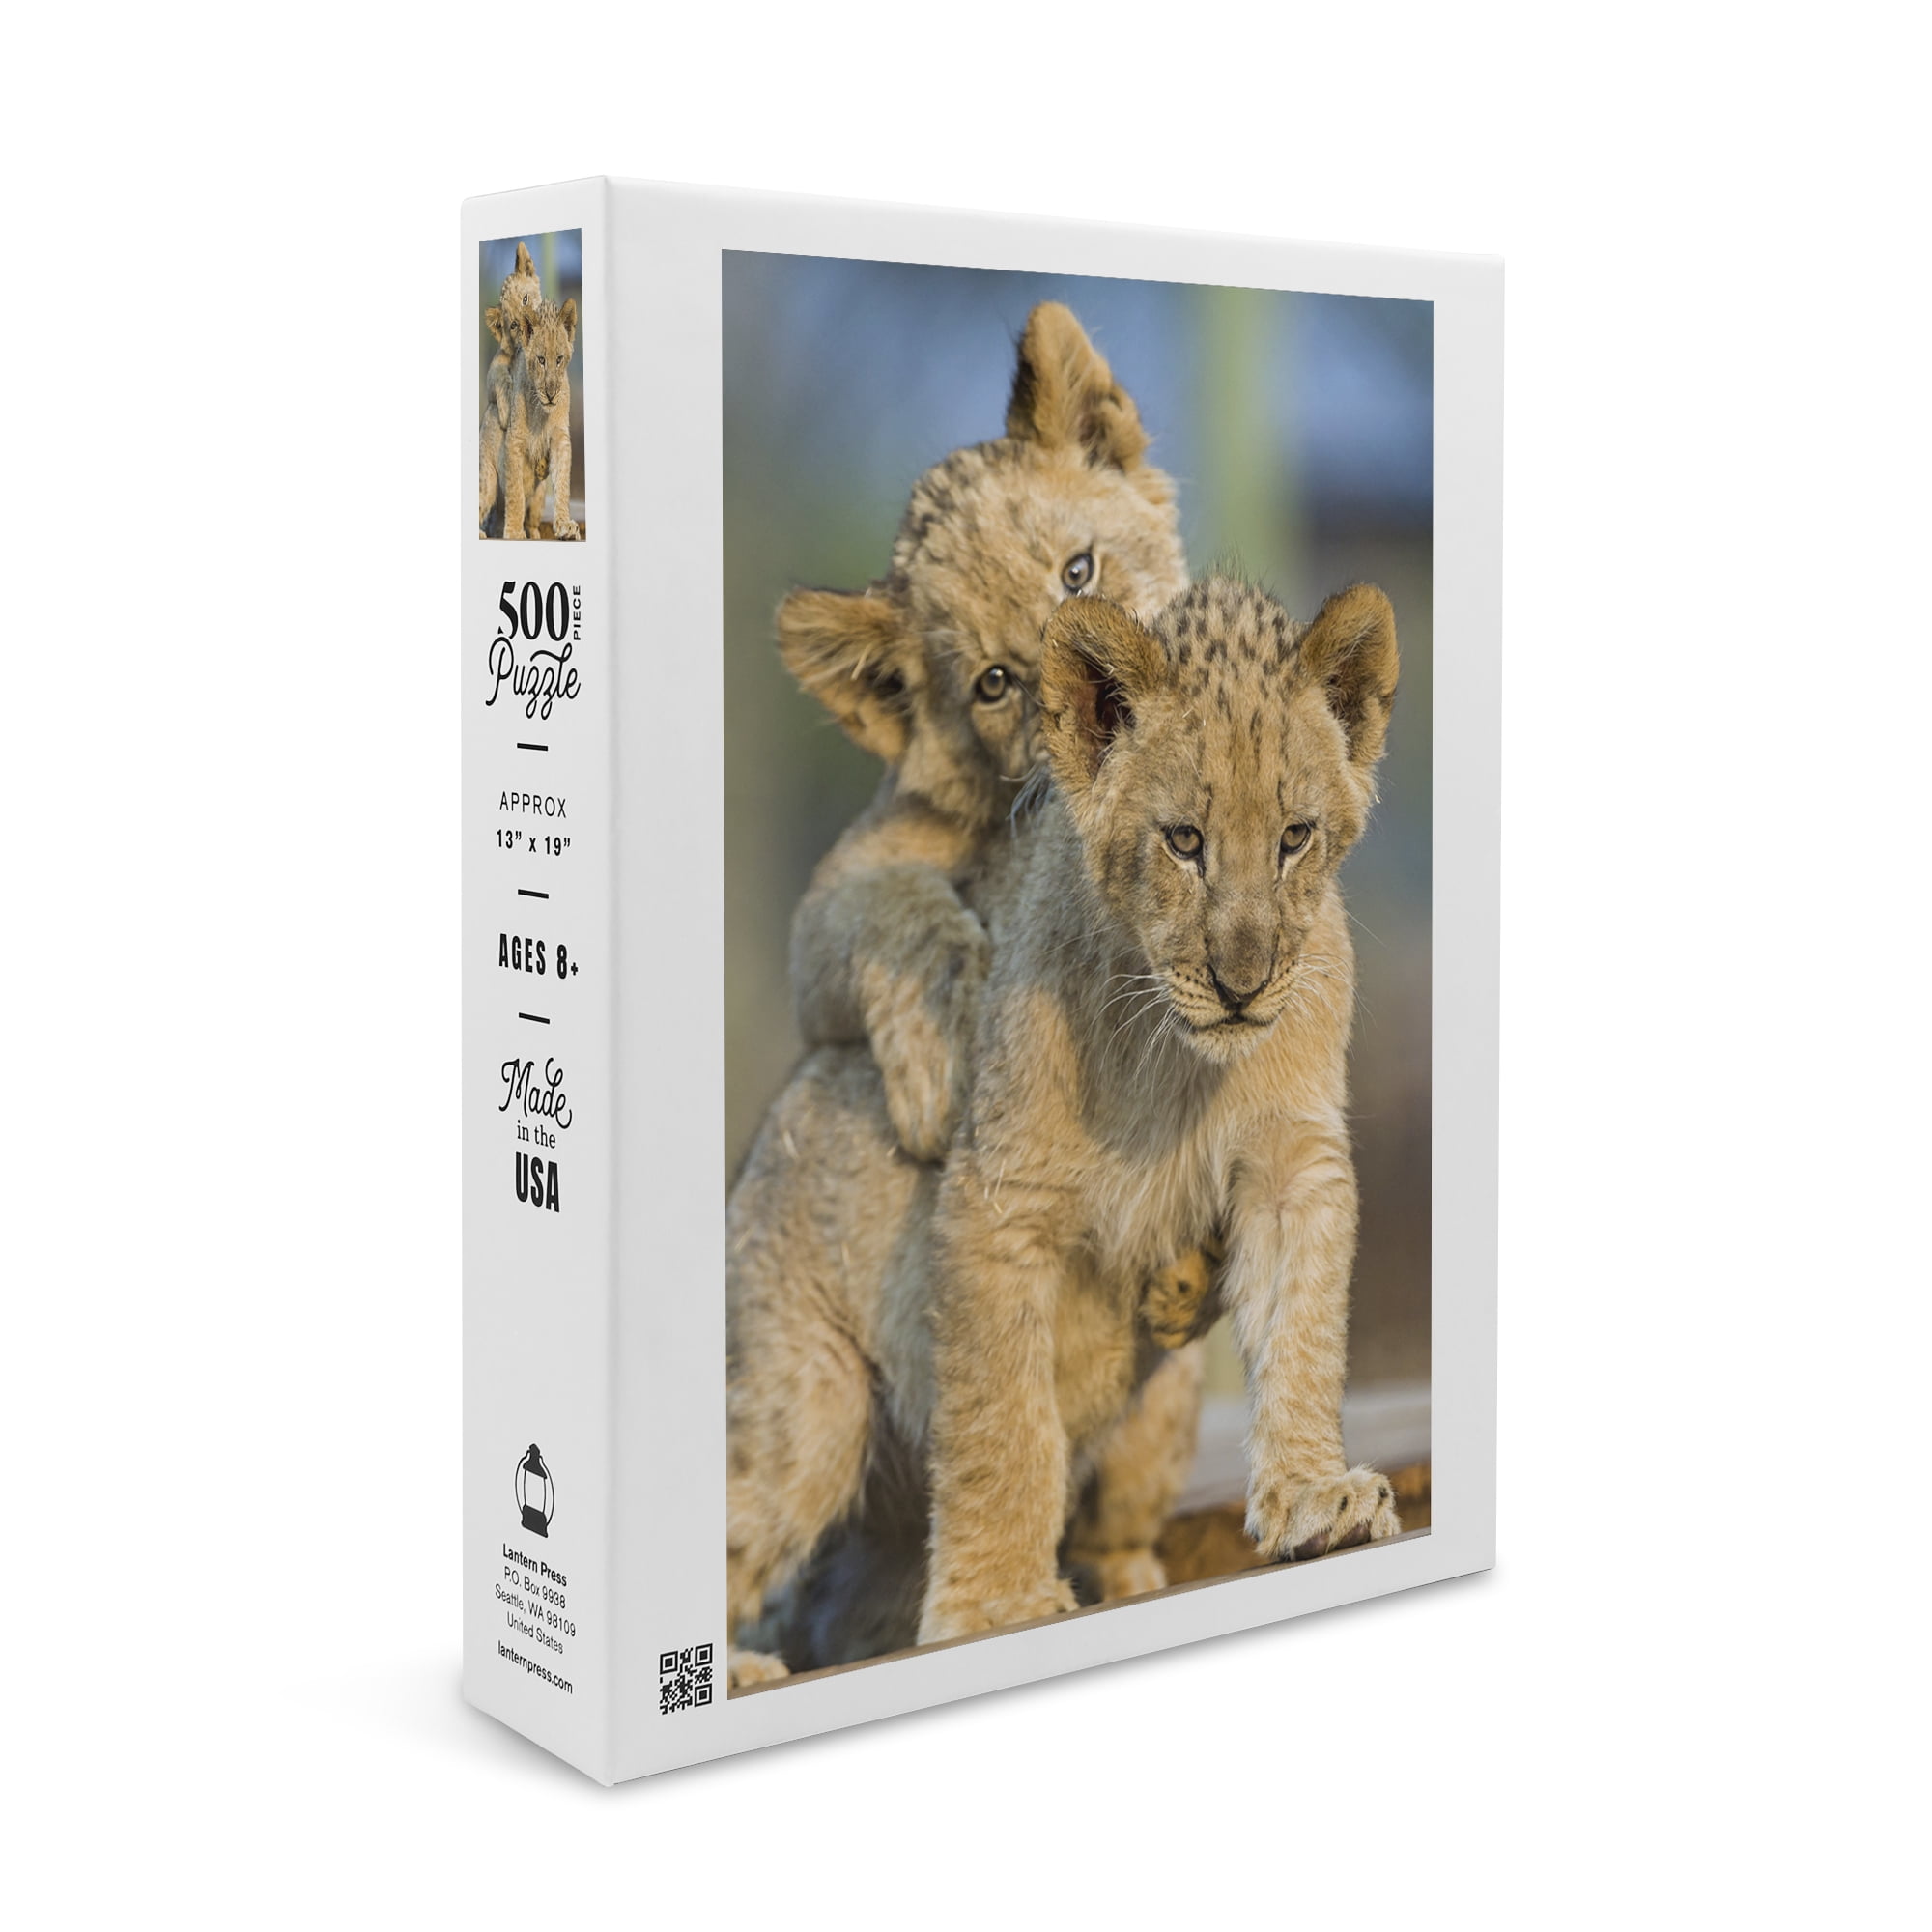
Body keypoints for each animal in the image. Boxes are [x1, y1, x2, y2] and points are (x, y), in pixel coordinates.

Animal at [726, 576, 1402, 1682]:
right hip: (808, 1407)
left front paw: (1315, 1495)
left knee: (844, 1606)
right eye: (1183, 841)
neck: (1171, 1050)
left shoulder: (1291, 1160)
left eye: (1295, 837)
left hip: (1159, 1412)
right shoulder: (996, 1198)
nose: (1243, 985)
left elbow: (1303, 1330)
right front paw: (999, 1602)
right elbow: (1003, 1419)